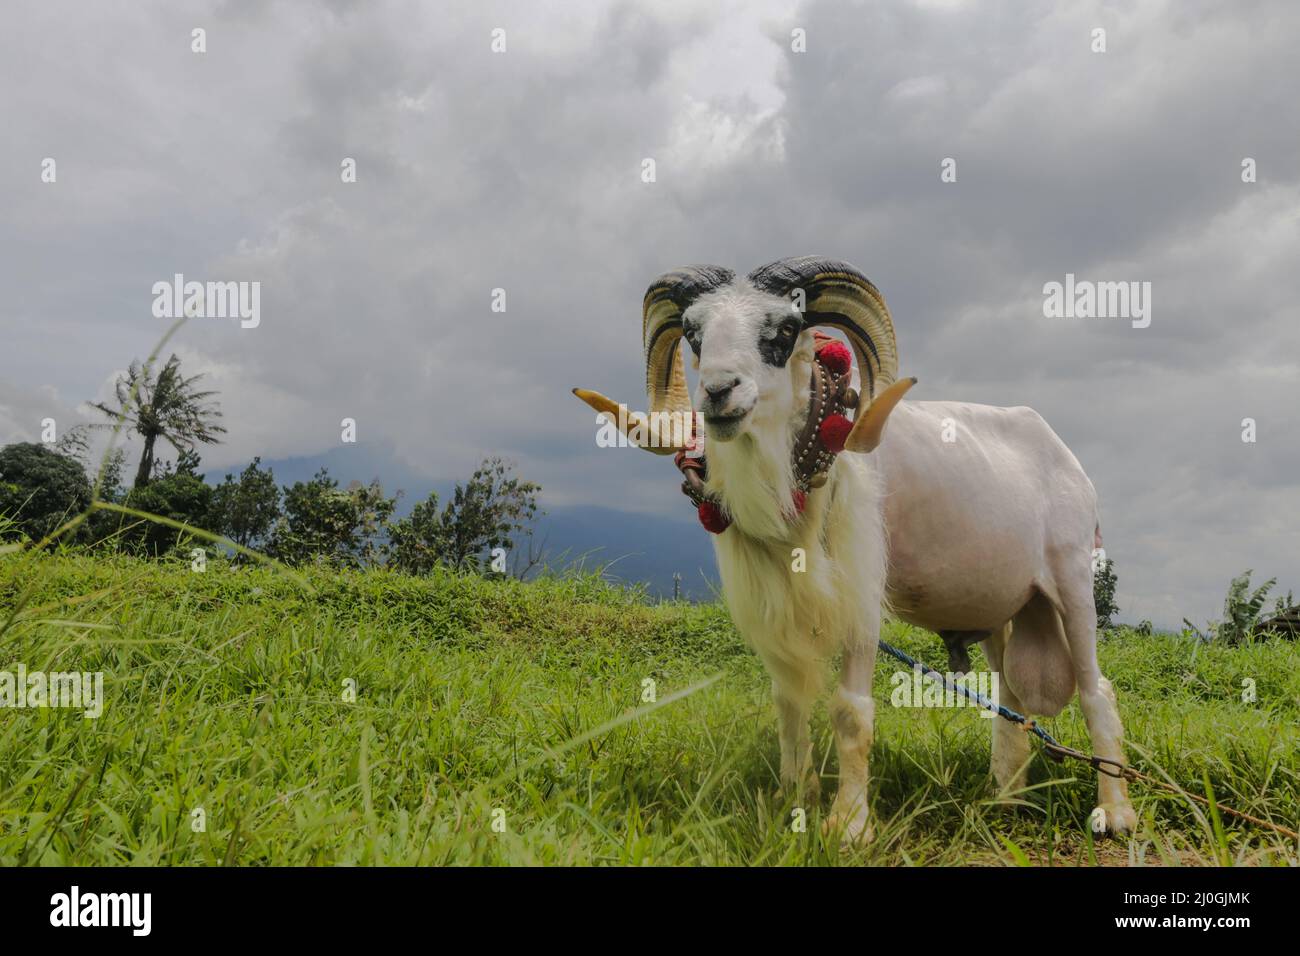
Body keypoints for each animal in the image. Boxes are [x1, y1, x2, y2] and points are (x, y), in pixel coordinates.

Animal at [574, 256, 1136, 842]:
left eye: (784, 330)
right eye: (693, 332)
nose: (718, 392)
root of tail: (1069, 461)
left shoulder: (861, 598)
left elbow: (850, 711)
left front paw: (848, 824)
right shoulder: (774, 610)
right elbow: (788, 704)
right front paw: (792, 798)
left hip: (1073, 583)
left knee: (1097, 692)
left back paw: (1114, 813)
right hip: (1007, 608)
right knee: (1011, 696)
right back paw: (1003, 797)